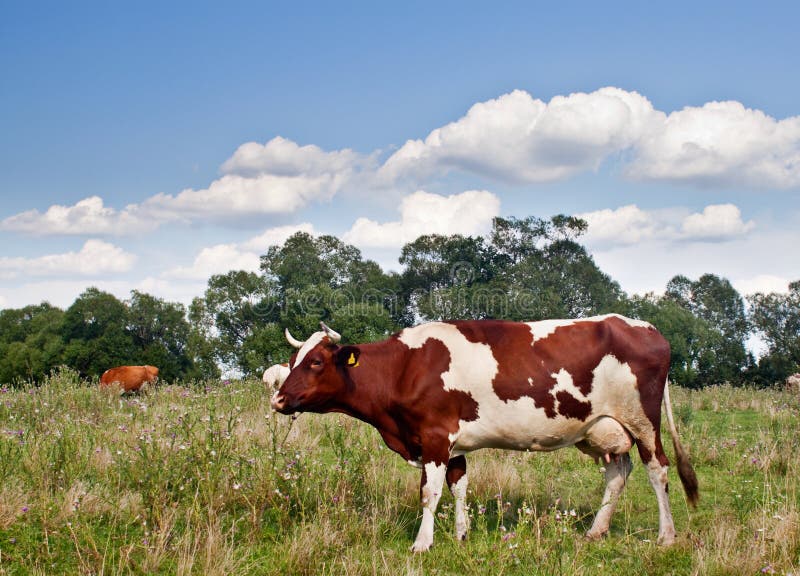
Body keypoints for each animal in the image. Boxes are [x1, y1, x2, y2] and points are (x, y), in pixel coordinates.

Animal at [271, 315, 699, 552]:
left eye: (316, 361)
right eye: (292, 359)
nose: (278, 398)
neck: (405, 367)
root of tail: (645, 327)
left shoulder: (434, 436)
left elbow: (430, 492)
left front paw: (422, 543)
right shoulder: (451, 442)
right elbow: (459, 485)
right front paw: (461, 535)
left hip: (643, 420)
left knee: (657, 469)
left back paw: (666, 536)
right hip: (602, 429)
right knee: (617, 473)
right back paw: (595, 531)